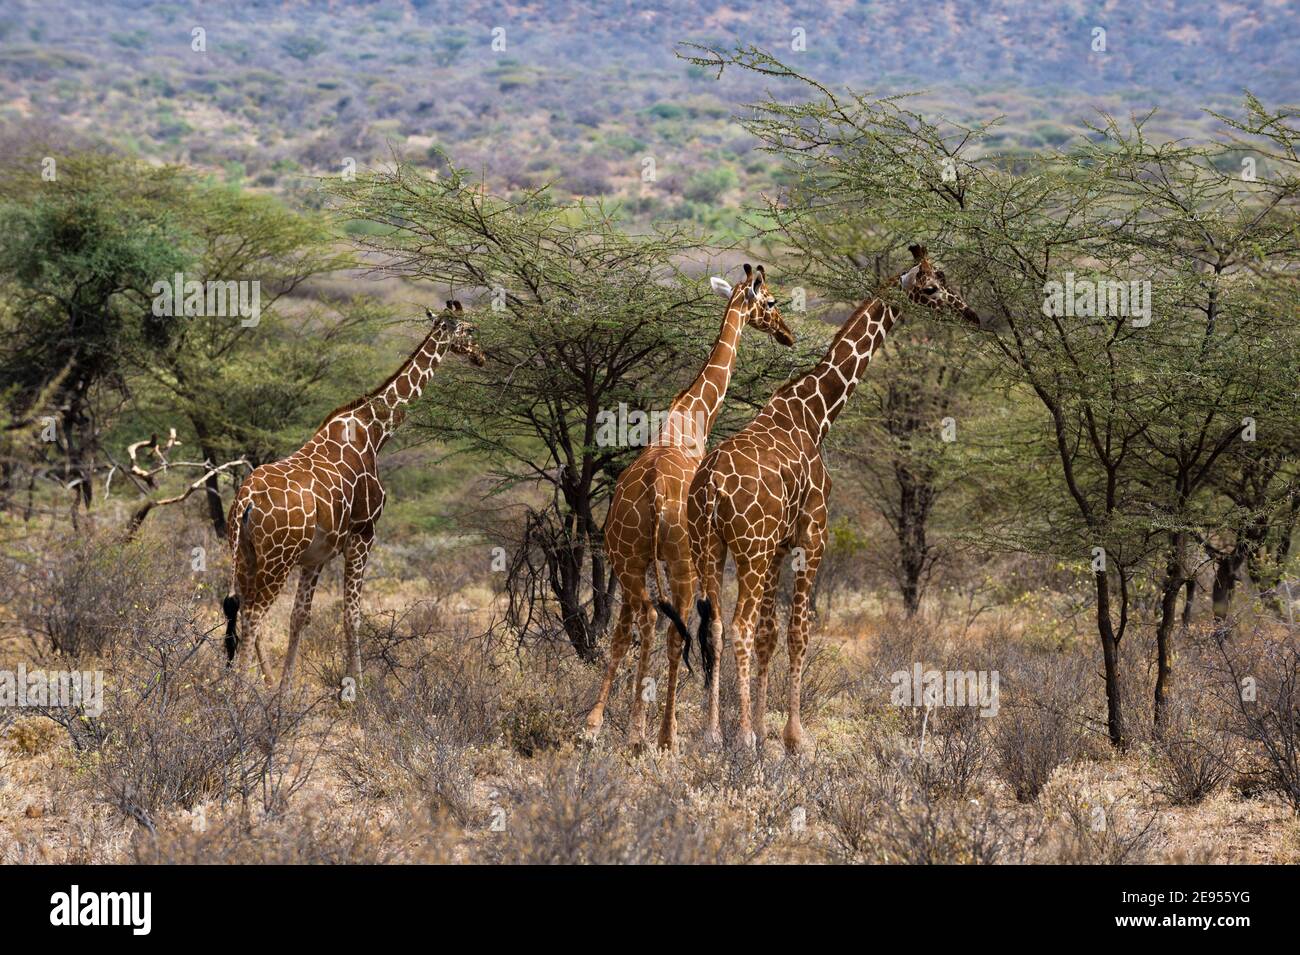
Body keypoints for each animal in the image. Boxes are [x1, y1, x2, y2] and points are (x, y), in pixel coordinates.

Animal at [221, 302, 485, 691]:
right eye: (469, 329)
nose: (482, 356)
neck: (375, 431)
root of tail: (245, 499)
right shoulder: (364, 533)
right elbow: (352, 615)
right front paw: (356, 689)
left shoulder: (316, 555)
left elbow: (300, 617)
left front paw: (285, 689)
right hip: (277, 558)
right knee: (254, 614)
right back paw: (240, 691)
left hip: (244, 553)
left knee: (240, 609)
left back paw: (261, 683)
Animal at [585, 264, 795, 751]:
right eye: (771, 302)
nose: (788, 334)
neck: (691, 416)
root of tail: (654, 490)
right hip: (679, 560)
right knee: (669, 629)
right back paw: (660, 735)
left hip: (626, 555)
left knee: (635, 623)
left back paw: (600, 726)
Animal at [672, 245, 981, 752]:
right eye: (934, 287)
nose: (970, 313)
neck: (815, 414)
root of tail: (711, 486)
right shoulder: (812, 534)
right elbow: (798, 631)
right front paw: (792, 737)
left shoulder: (779, 545)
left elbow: (771, 634)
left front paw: (766, 730)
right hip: (749, 550)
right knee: (737, 625)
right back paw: (741, 736)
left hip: (709, 547)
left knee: (714, 625)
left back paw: (714, 733)